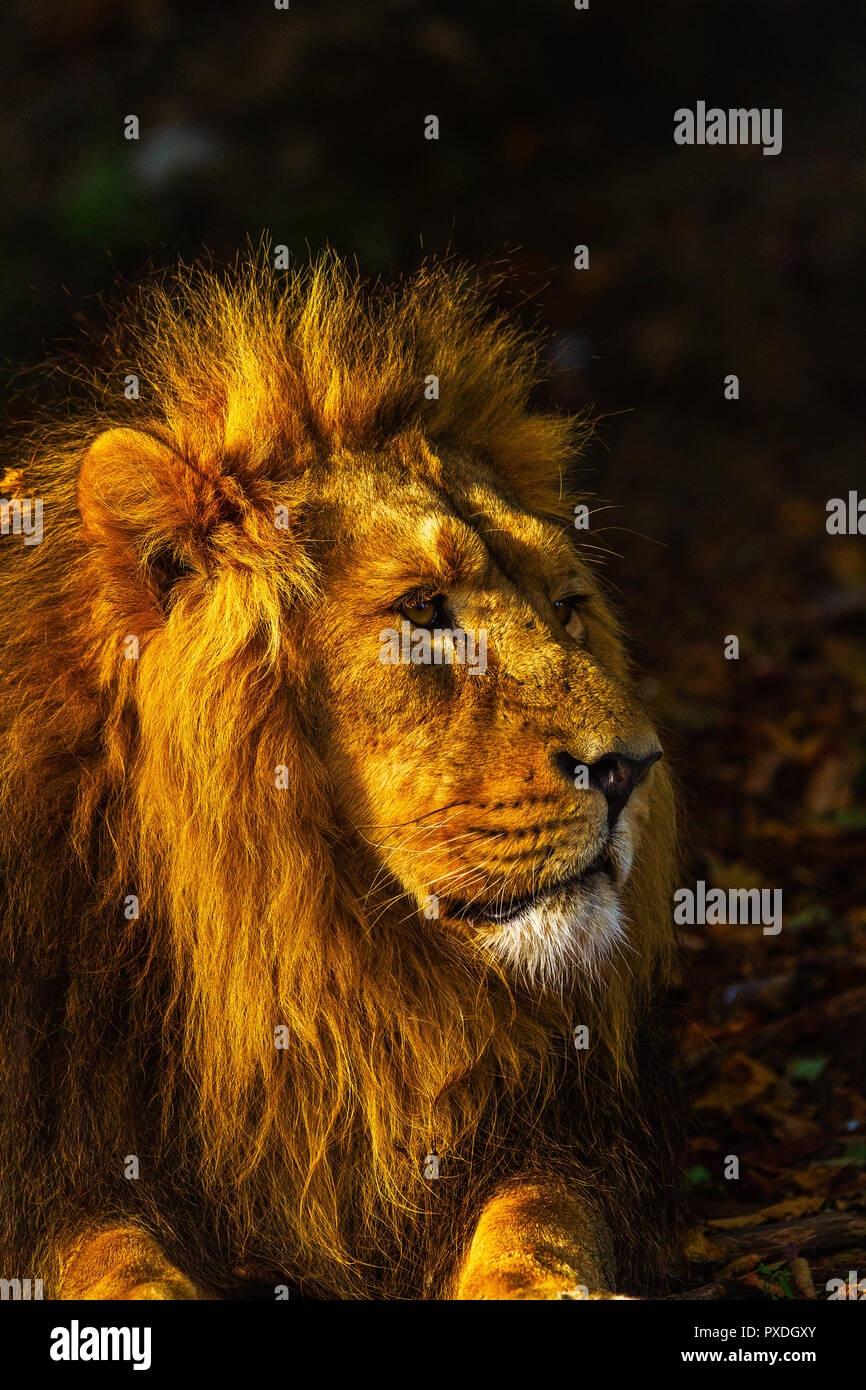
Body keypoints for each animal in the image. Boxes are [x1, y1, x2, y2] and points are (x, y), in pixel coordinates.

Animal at [0, 252, 683, 1300]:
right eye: (423, 611)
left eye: (568, 607)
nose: (632, 769)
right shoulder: (54, 1169)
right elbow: (116, 1266)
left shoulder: (554, 1136)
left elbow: (538, 1230)